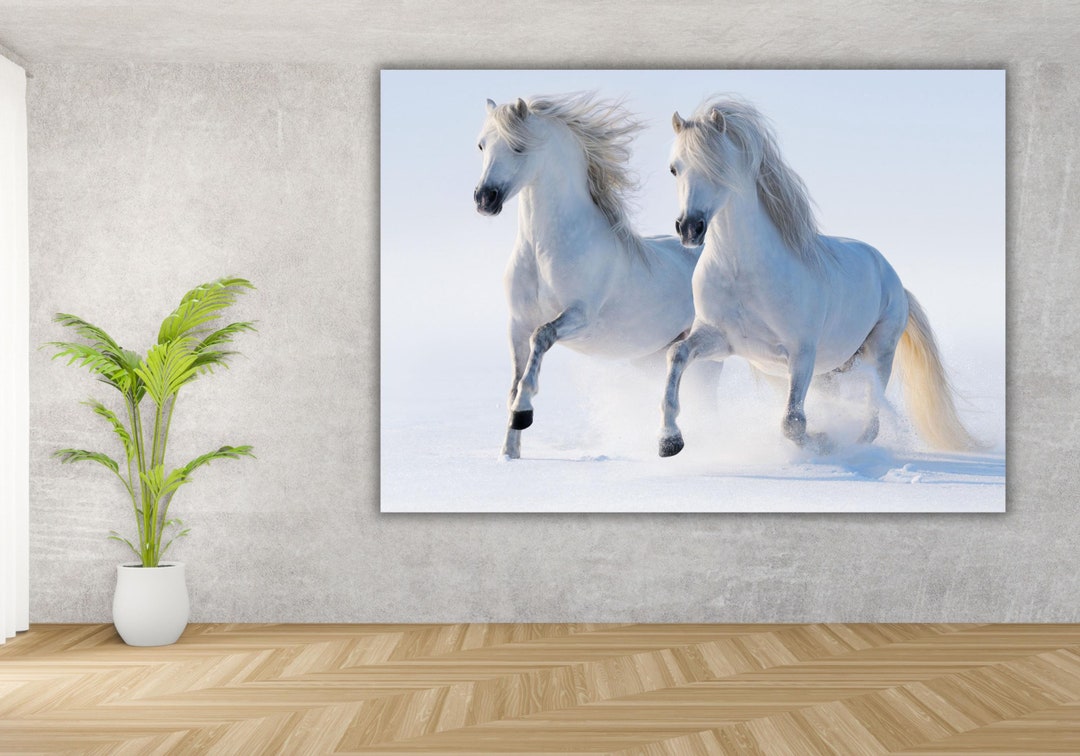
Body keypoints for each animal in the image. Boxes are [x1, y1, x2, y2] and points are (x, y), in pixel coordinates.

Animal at [473, 93, 703, 460]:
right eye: (481, 145)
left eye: (519, 147)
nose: (485, 199)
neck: (542, 251)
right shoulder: (516, 323)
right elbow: (514, 380)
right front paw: (509, 453)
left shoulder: (580, 317)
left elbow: (541, 339)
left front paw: (524, 414)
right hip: (653, 356)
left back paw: (673, 441)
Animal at [658, 96, 978, 457]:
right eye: (674, 168)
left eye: (718, 166)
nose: (689, 228)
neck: (742, 272)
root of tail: (895, 280)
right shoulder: (720, 340)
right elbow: (676, 354)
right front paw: (669, 440)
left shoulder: (801, 353)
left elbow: (793, 422)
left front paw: (823, 442)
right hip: (831, 370)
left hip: (878, 353)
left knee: (872, 418)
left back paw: (853, 445)